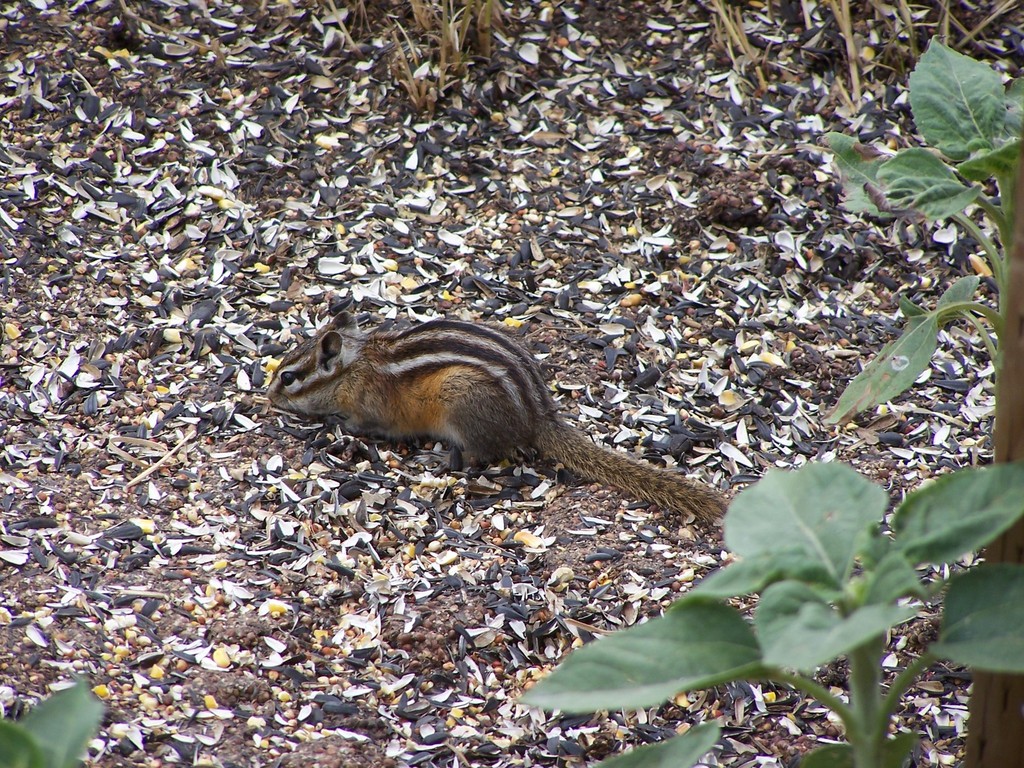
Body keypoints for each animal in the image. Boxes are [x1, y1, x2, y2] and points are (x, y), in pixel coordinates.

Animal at [267, 312, 725, 523]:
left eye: (288, 377)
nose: (267, 396)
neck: (356, 364)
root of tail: (538, 417)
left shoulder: (372, 405)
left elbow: (368, 425)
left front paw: (340, 424)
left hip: (460, 399)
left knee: (481, 455)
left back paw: (442, 458)